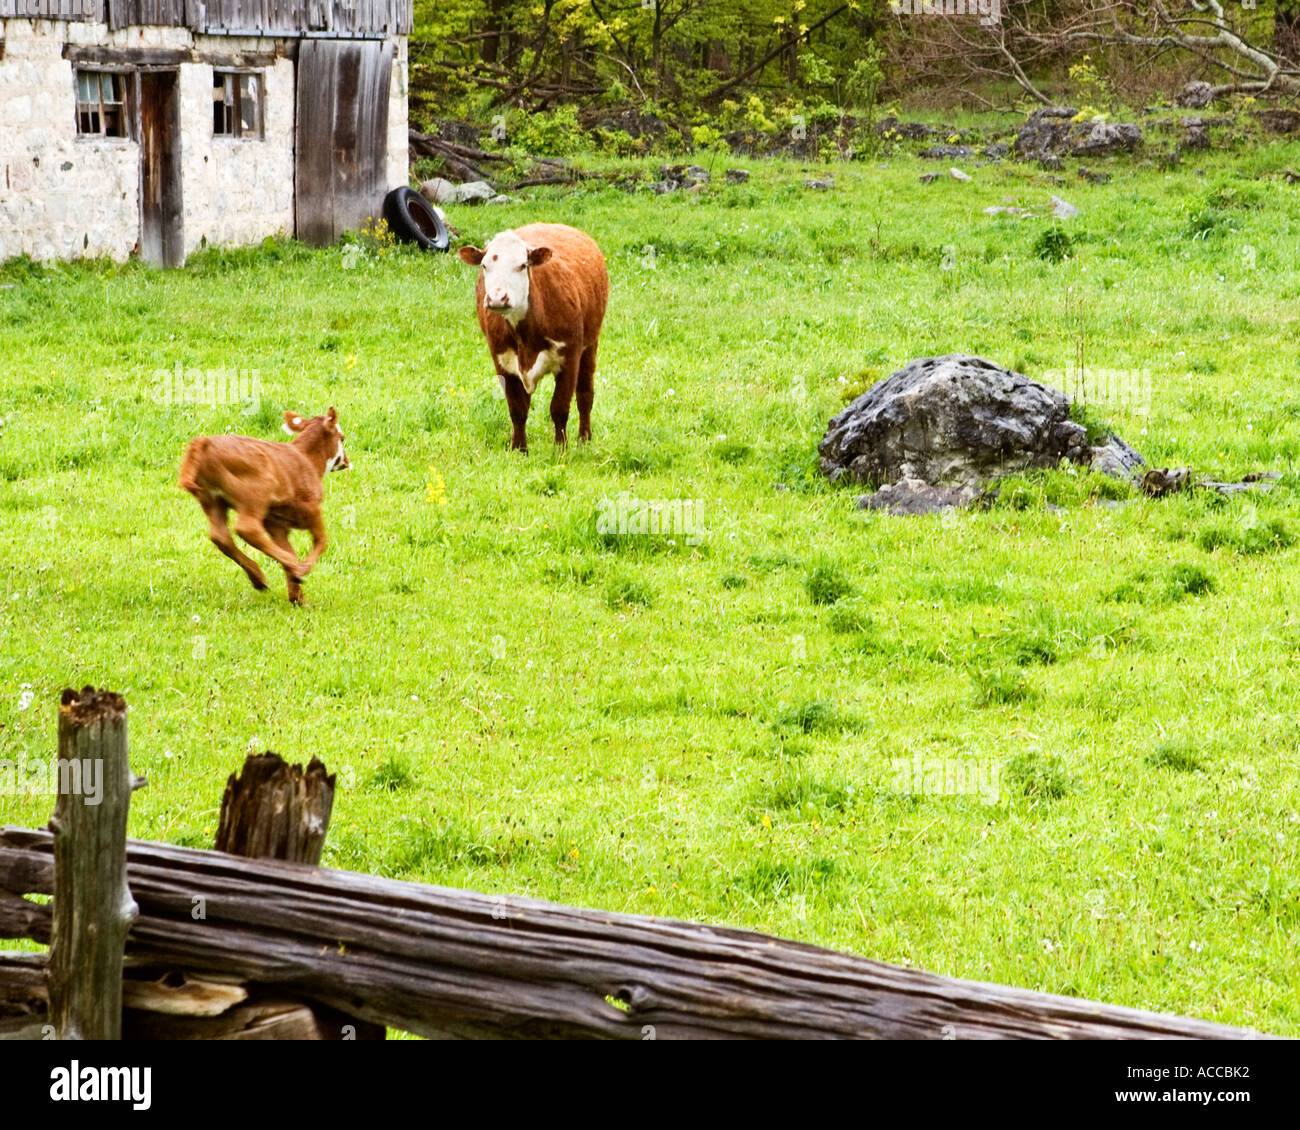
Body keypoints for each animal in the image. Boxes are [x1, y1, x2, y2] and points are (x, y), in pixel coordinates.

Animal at [177, 408, 349, 605]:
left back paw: (259, 578)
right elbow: (322, 540)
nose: (346, 460)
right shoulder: (311, 508)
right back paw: (291, 568)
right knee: (247, 528)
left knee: (220, 536)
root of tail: (204, 442)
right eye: (342, 438)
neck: (309, 460)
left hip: (211, 499)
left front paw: (298, 599)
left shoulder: (276, 524)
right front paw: (301, 573)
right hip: (256, 492)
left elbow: (289, 548)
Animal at [458, 222, 609, 452]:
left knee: (585, 395)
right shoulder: (501, 360)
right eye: (484, 266)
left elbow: (559, 407)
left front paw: (560, 449)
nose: (497, 298)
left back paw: (584, 438)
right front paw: (519, 449)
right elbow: (517, 408)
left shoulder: (570, 357)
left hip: (590, 345)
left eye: (522, 265)